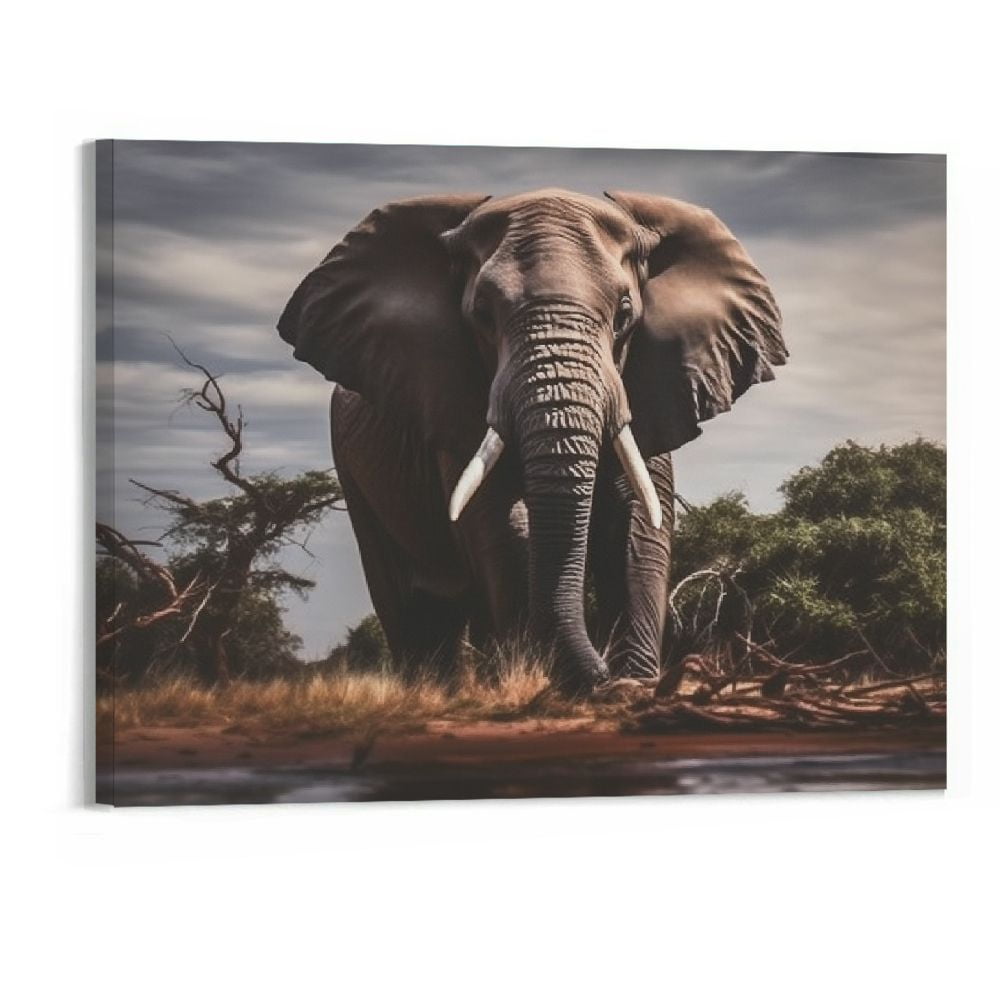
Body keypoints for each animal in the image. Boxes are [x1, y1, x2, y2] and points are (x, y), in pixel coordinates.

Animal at [278, 188, 785, 692]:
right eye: (482, 315)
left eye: (624, 315)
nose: (601, 673)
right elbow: (502, 526)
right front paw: (559, 677)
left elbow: (637, 528)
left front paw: (632, 684)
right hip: (353, 473)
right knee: (410, 608)